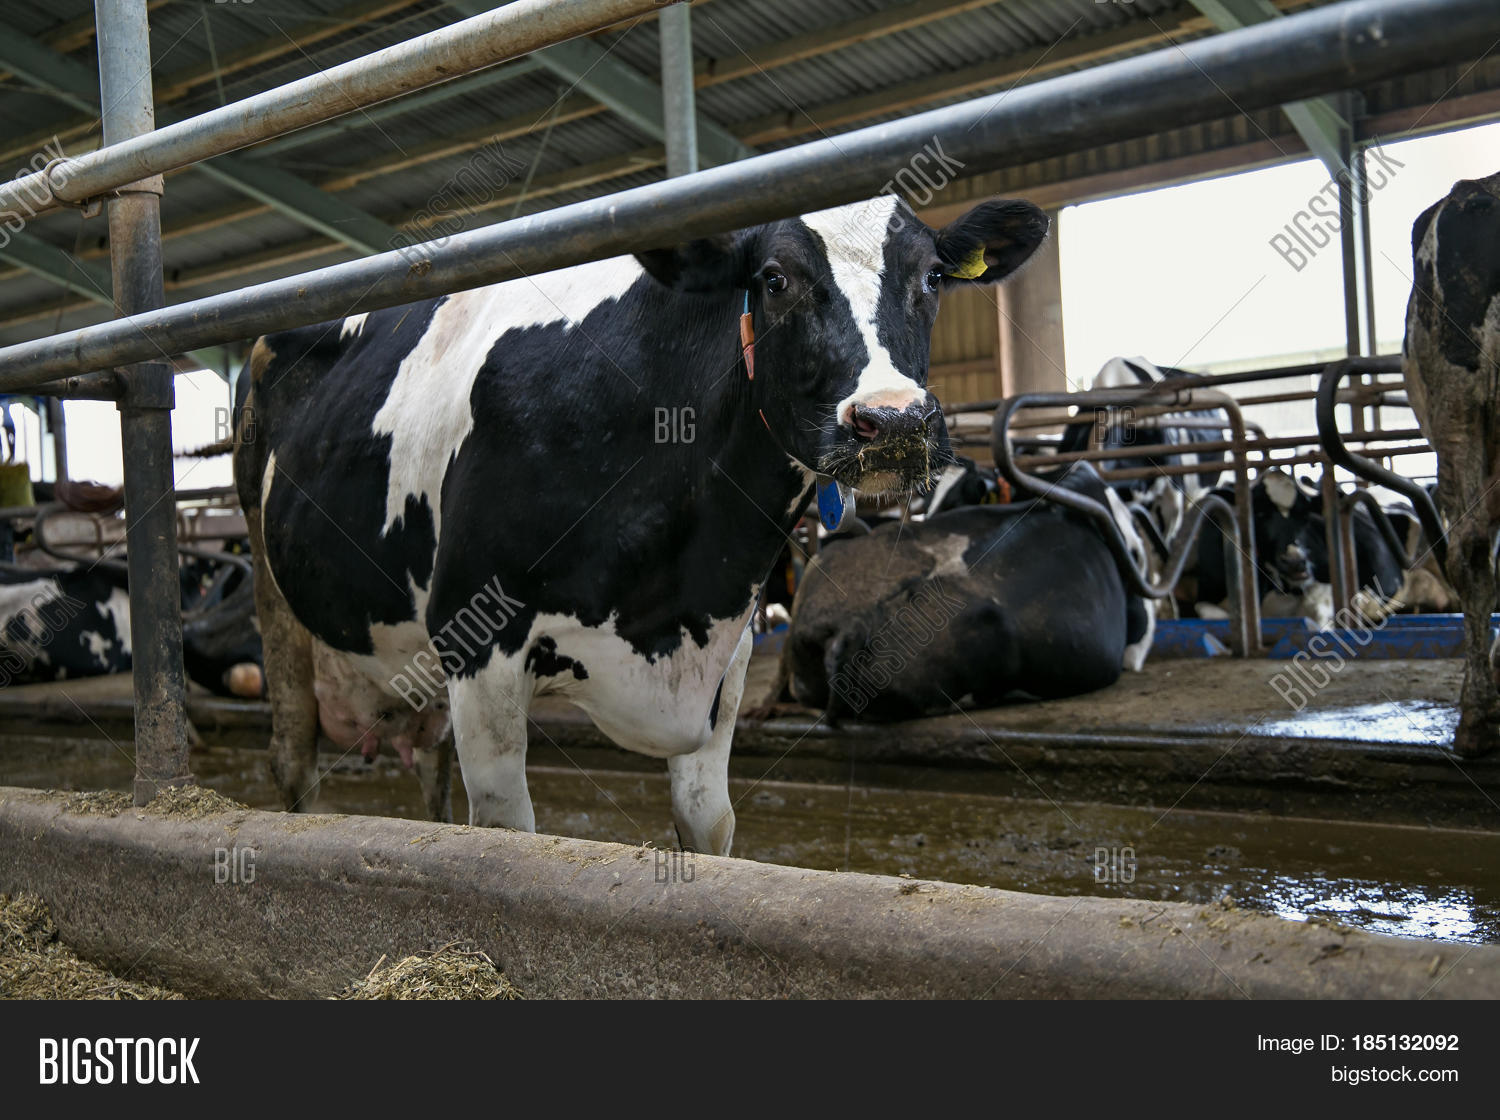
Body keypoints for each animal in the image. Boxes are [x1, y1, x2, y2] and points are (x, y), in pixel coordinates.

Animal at [232, 195, 1050, 851]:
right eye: (775, 279)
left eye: (934, 277)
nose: (895, 421)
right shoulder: (477, 639)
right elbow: (505, 832)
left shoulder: (724, 653)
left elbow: (709, 822)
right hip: (278, 603)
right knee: (293, 759)